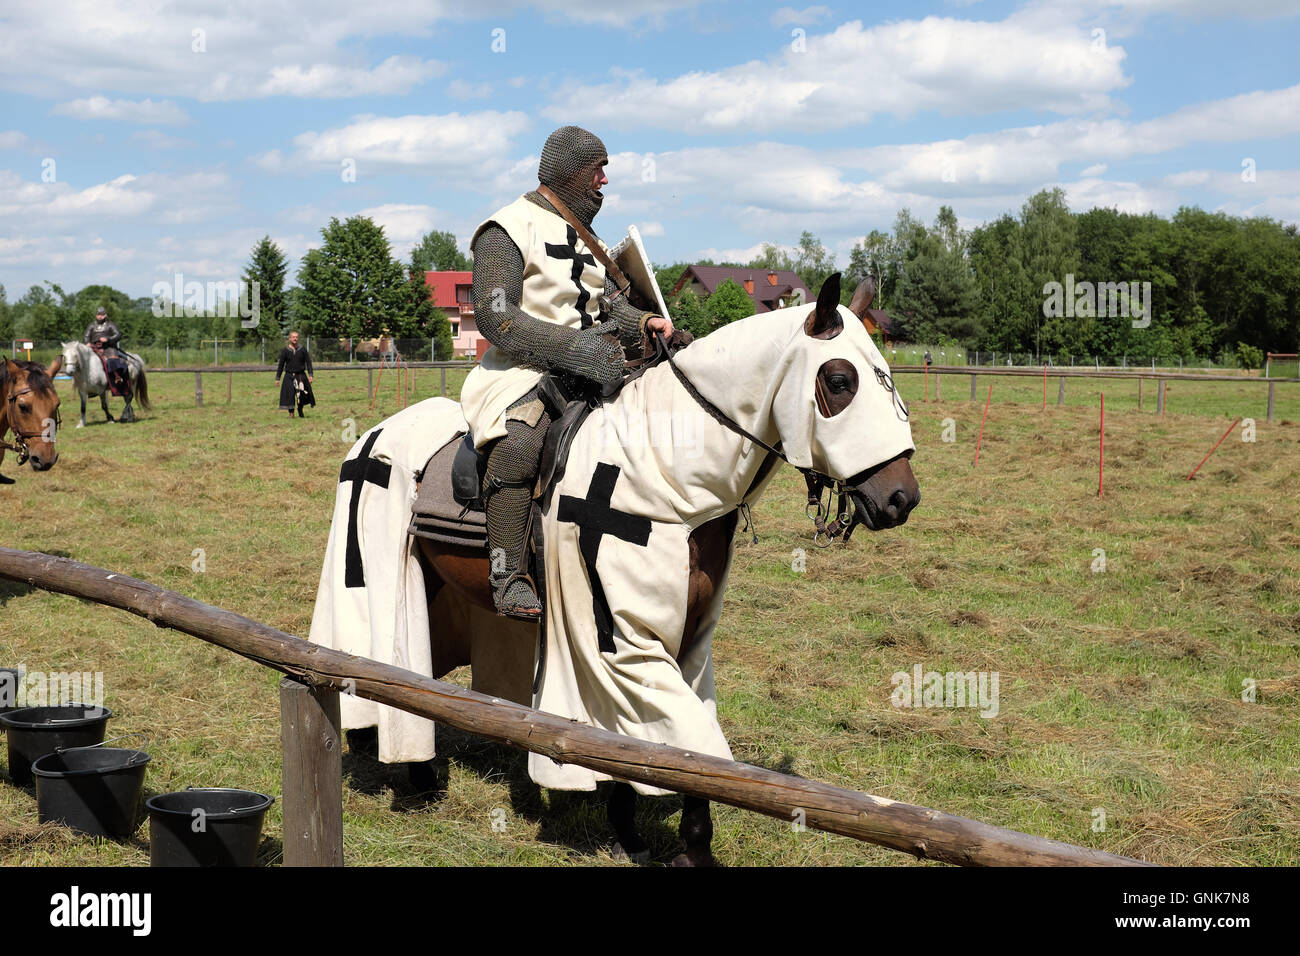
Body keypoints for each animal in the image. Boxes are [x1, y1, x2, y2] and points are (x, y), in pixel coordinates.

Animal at [325, 273, 919, 865]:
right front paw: (689, 849)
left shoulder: (685, 641)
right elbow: (686, 744)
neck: (664, 467)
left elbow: (646, 743)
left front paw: (631, 830)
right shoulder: (625, 642)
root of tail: (373, 436)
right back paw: (414, 770)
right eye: (839, 381)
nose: (901, 499)